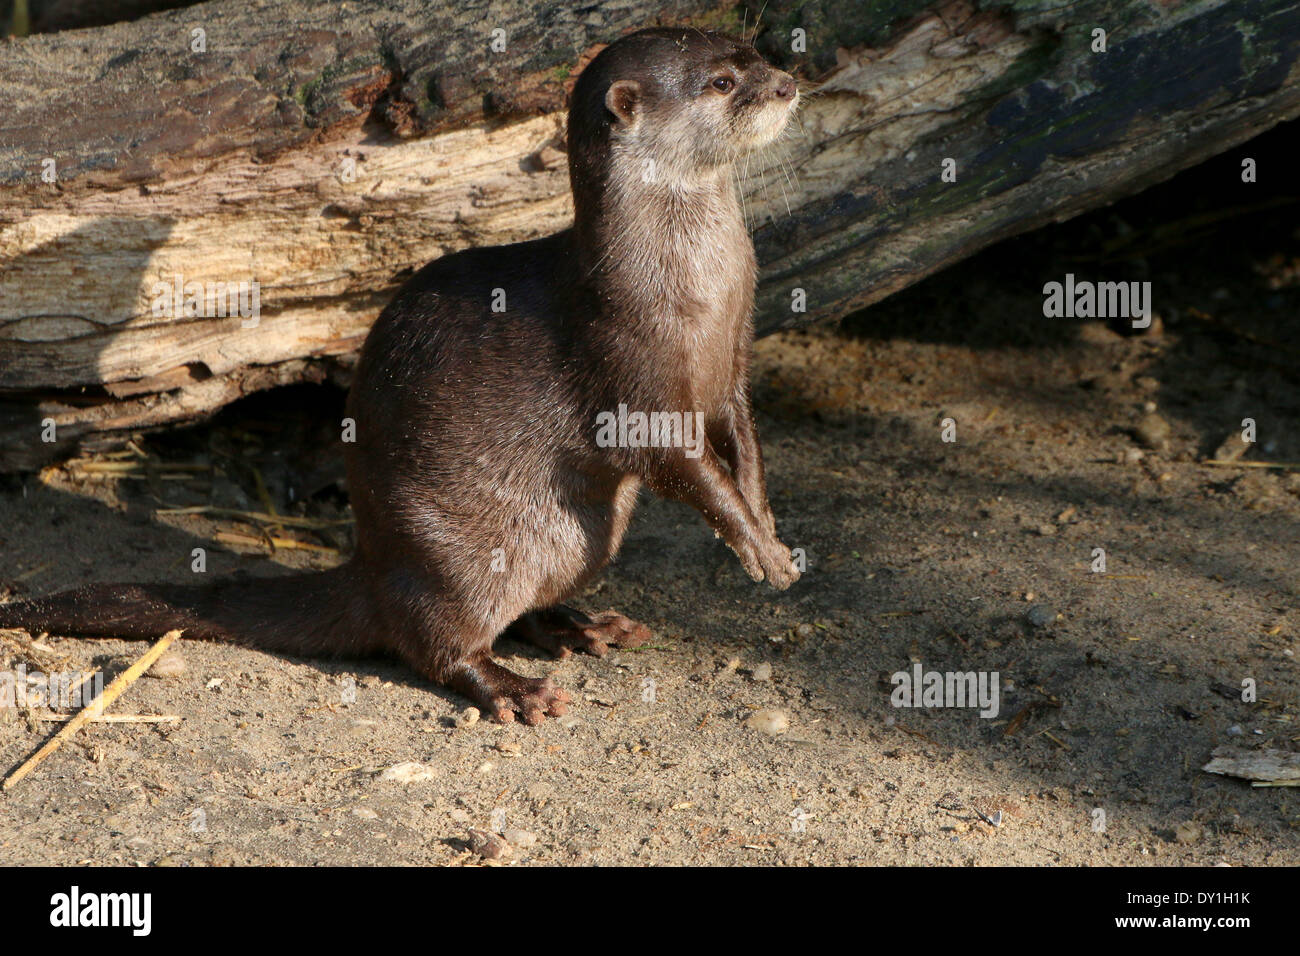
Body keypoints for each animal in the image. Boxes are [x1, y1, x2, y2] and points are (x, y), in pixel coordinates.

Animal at [0, 28, 802, 724]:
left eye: (758, 53)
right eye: (722, 83)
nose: (789, 84)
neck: (699, 289)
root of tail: (372, 565)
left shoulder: (730, 368)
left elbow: (745, 443)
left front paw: (769, 527)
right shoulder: (631, 376)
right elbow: (684, 468)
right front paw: (760, 552)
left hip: (582, 542)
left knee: (529, 605)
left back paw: (583, 626)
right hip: (455, 555)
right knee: (436, 644)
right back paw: (515, 689)